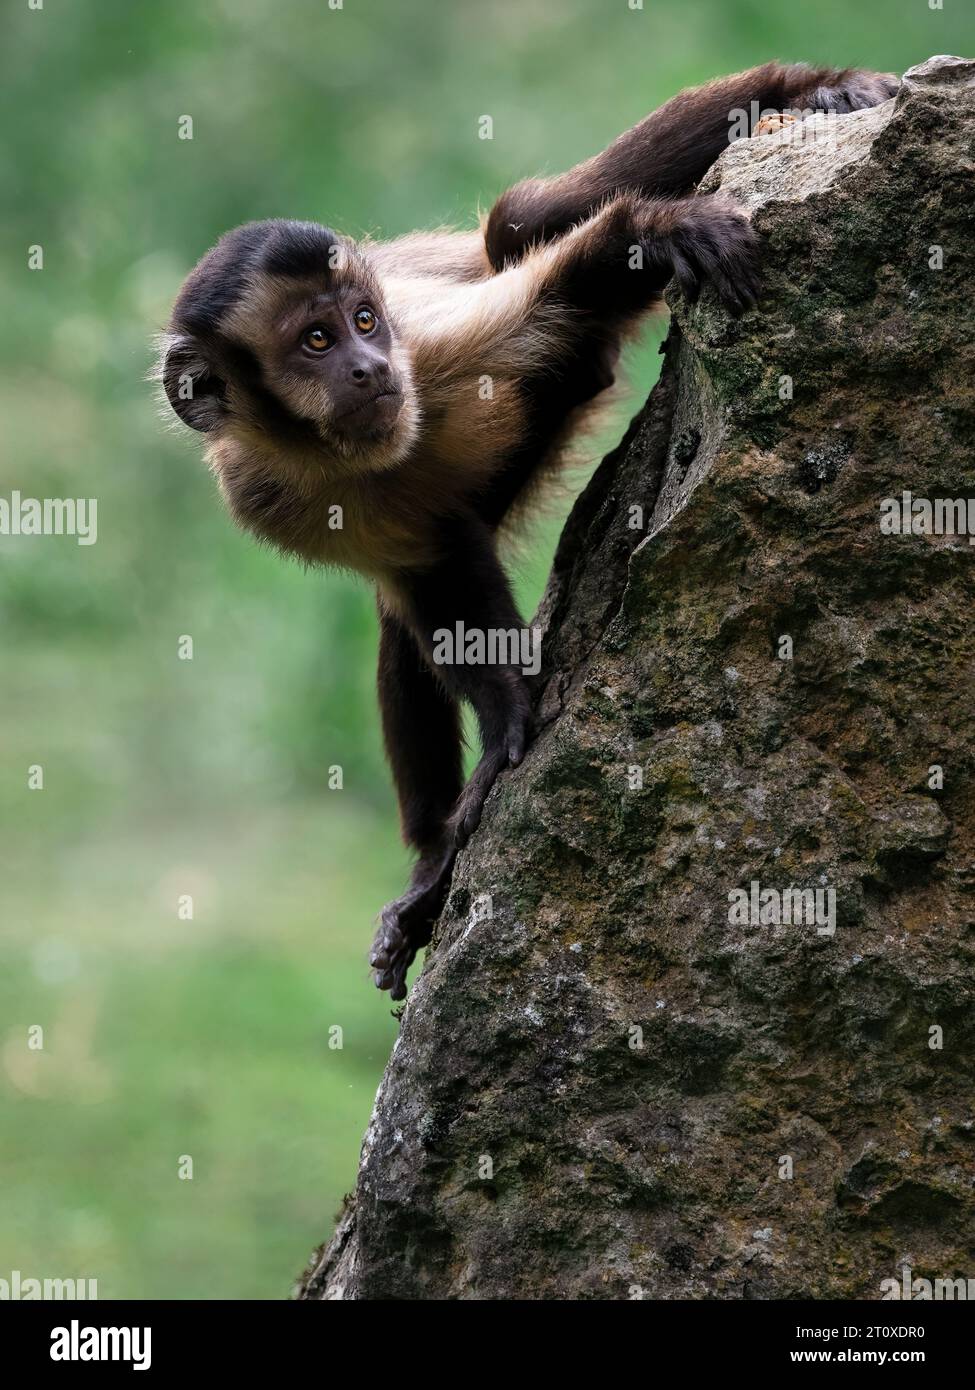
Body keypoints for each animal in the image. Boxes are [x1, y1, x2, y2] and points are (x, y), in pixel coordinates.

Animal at [158, 61, 899, 999]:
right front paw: (505, 717)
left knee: (517, 222)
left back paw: (809, 93)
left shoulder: (426, 348)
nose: (366, 368)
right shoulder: (260, 491)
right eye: (314, 342)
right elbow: (434, 571)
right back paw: (430, 866)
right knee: (405, 613)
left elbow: (554, 300)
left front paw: (660, 232)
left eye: (361, 323)